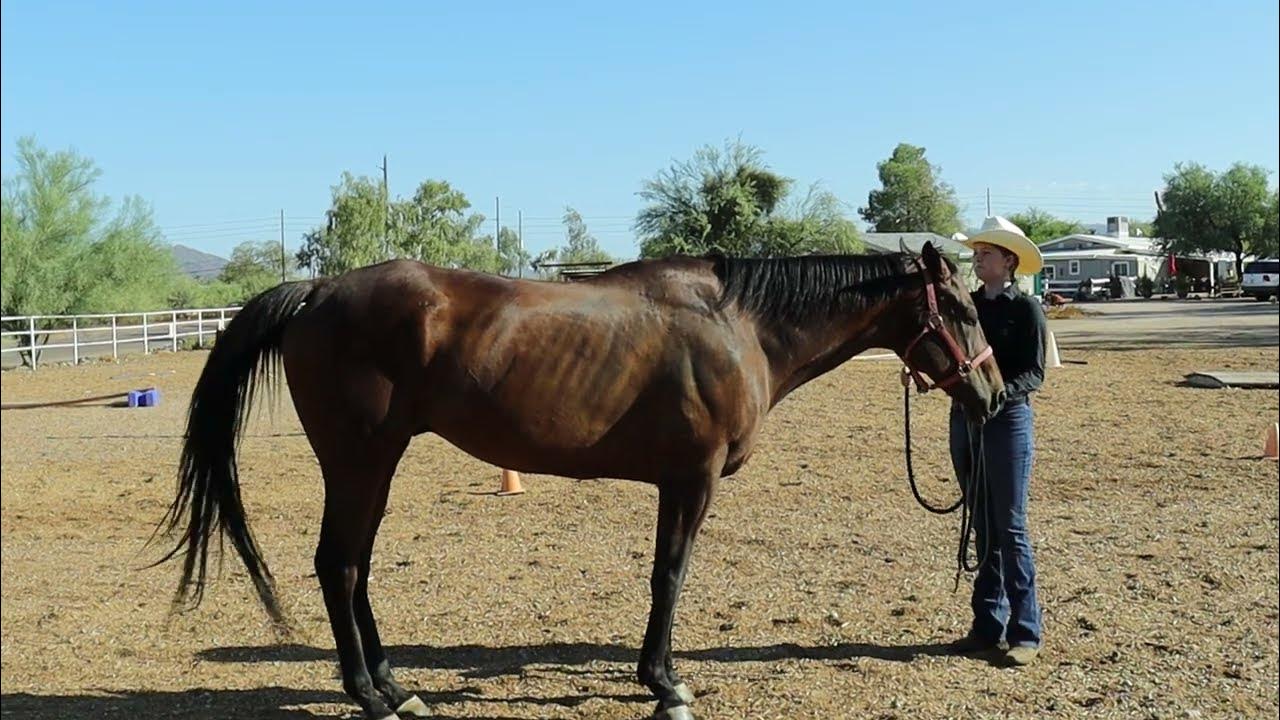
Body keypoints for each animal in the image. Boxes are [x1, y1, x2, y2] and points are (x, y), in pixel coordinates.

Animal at [157, 240, 1003, 720]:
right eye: (962, 309)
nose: (995, 396)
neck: (740, 326)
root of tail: (320, 292)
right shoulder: (690, 480)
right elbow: (670, 575)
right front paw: (664, 684)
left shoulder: (676, 483)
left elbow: (665, 575)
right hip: (360, 459)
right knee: (339, 565)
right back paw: (369, 697)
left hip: (377, 463)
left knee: (356, 567)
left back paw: (395, 685)